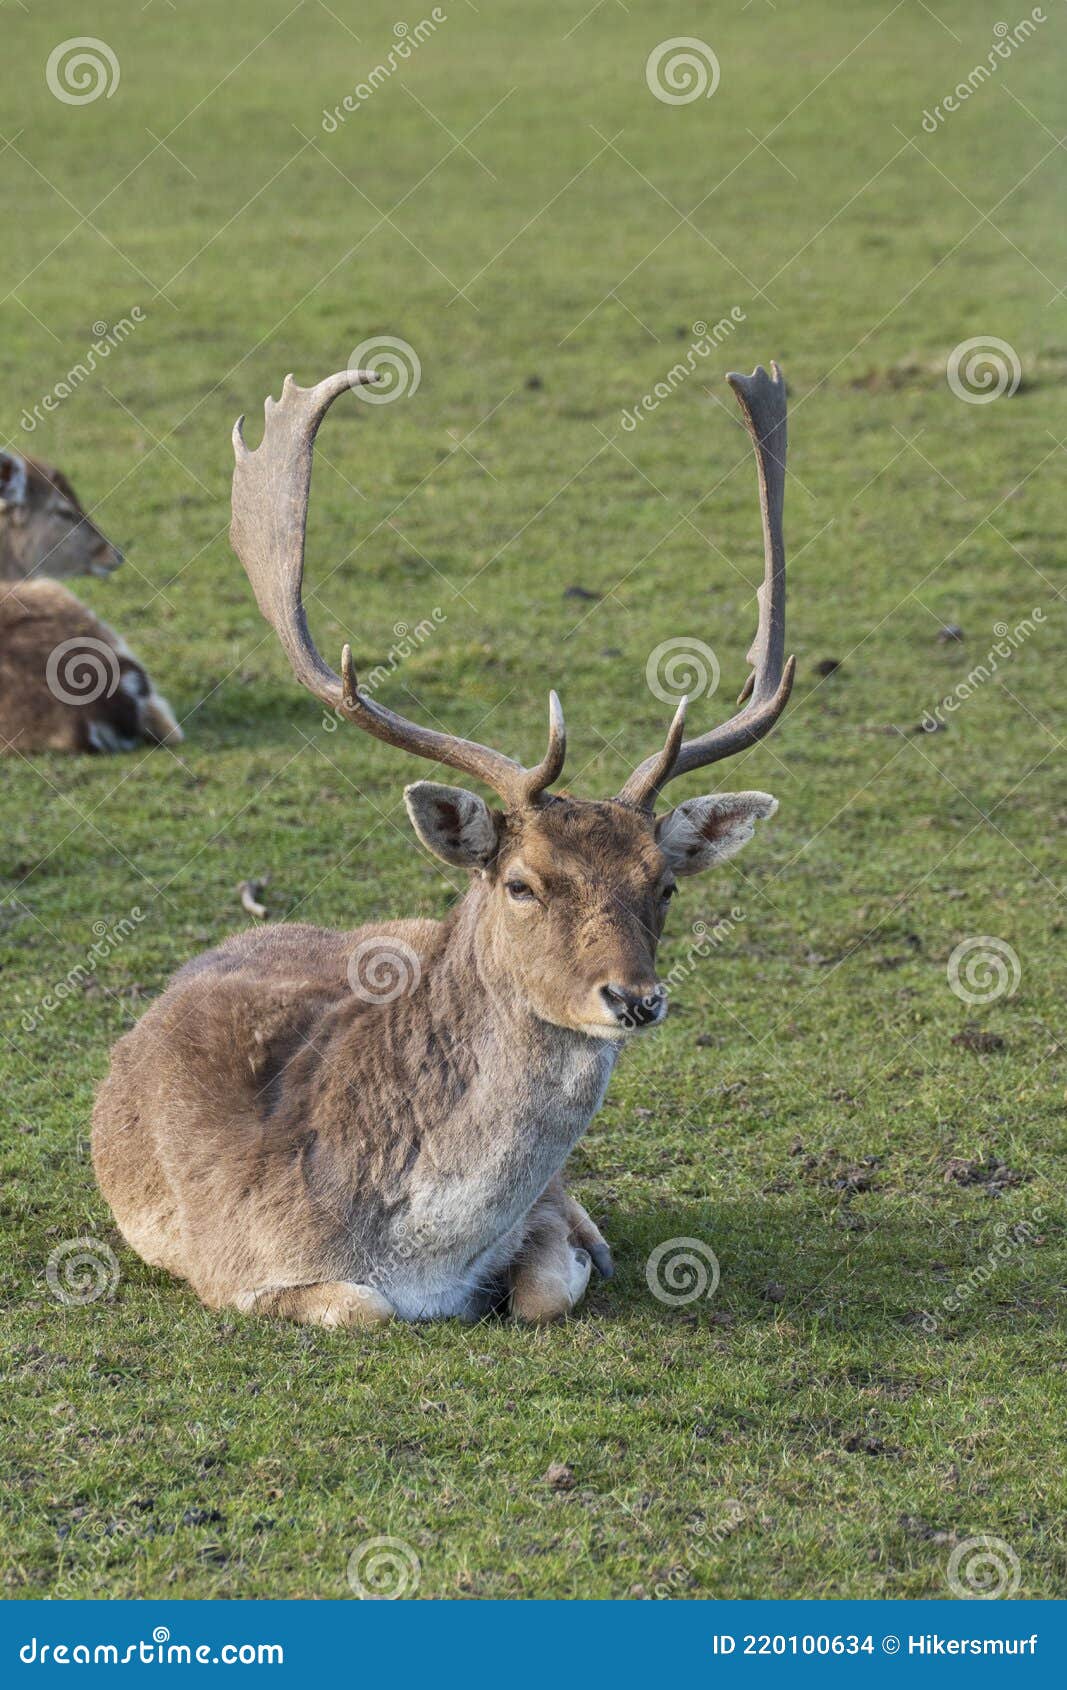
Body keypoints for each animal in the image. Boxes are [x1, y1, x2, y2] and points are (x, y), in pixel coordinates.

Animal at [91, 361, 794, 1326]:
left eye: (665, 885)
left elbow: (545, 1286)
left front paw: (574, 1258)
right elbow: (363, 1306)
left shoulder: (535, 1224)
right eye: (522, 884)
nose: (634, 998)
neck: (420, 1253)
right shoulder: (233, 1269)